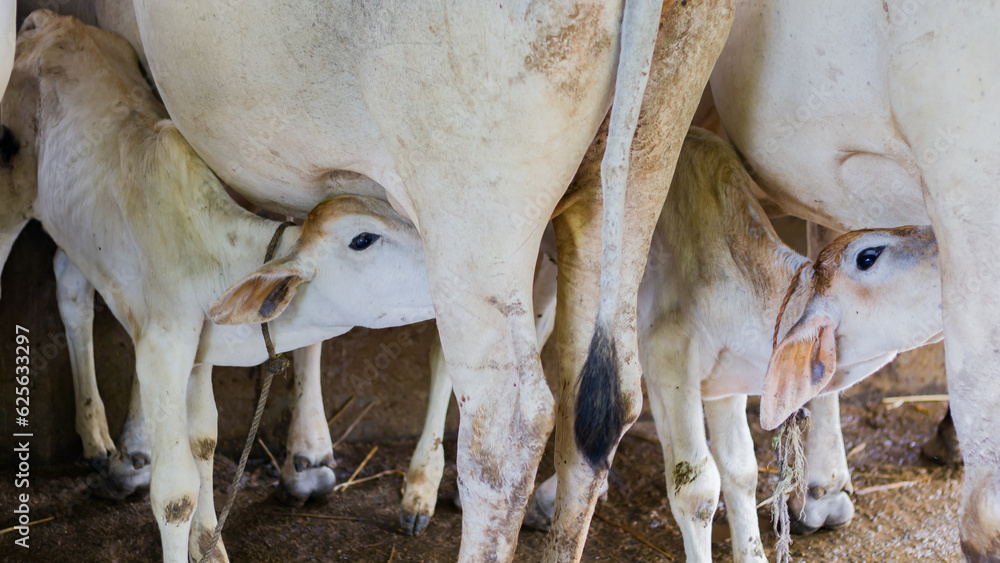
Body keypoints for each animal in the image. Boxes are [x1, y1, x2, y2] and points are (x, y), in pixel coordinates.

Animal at [0, 11, 435, 561]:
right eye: (363, 238)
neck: (209, 248)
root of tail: (49, 18)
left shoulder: (200, 356)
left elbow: (204, 445)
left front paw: (210, 544)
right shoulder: (162, 349)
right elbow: (175, 492)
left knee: (71, 288)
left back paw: (96, 438)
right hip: (11, 194)